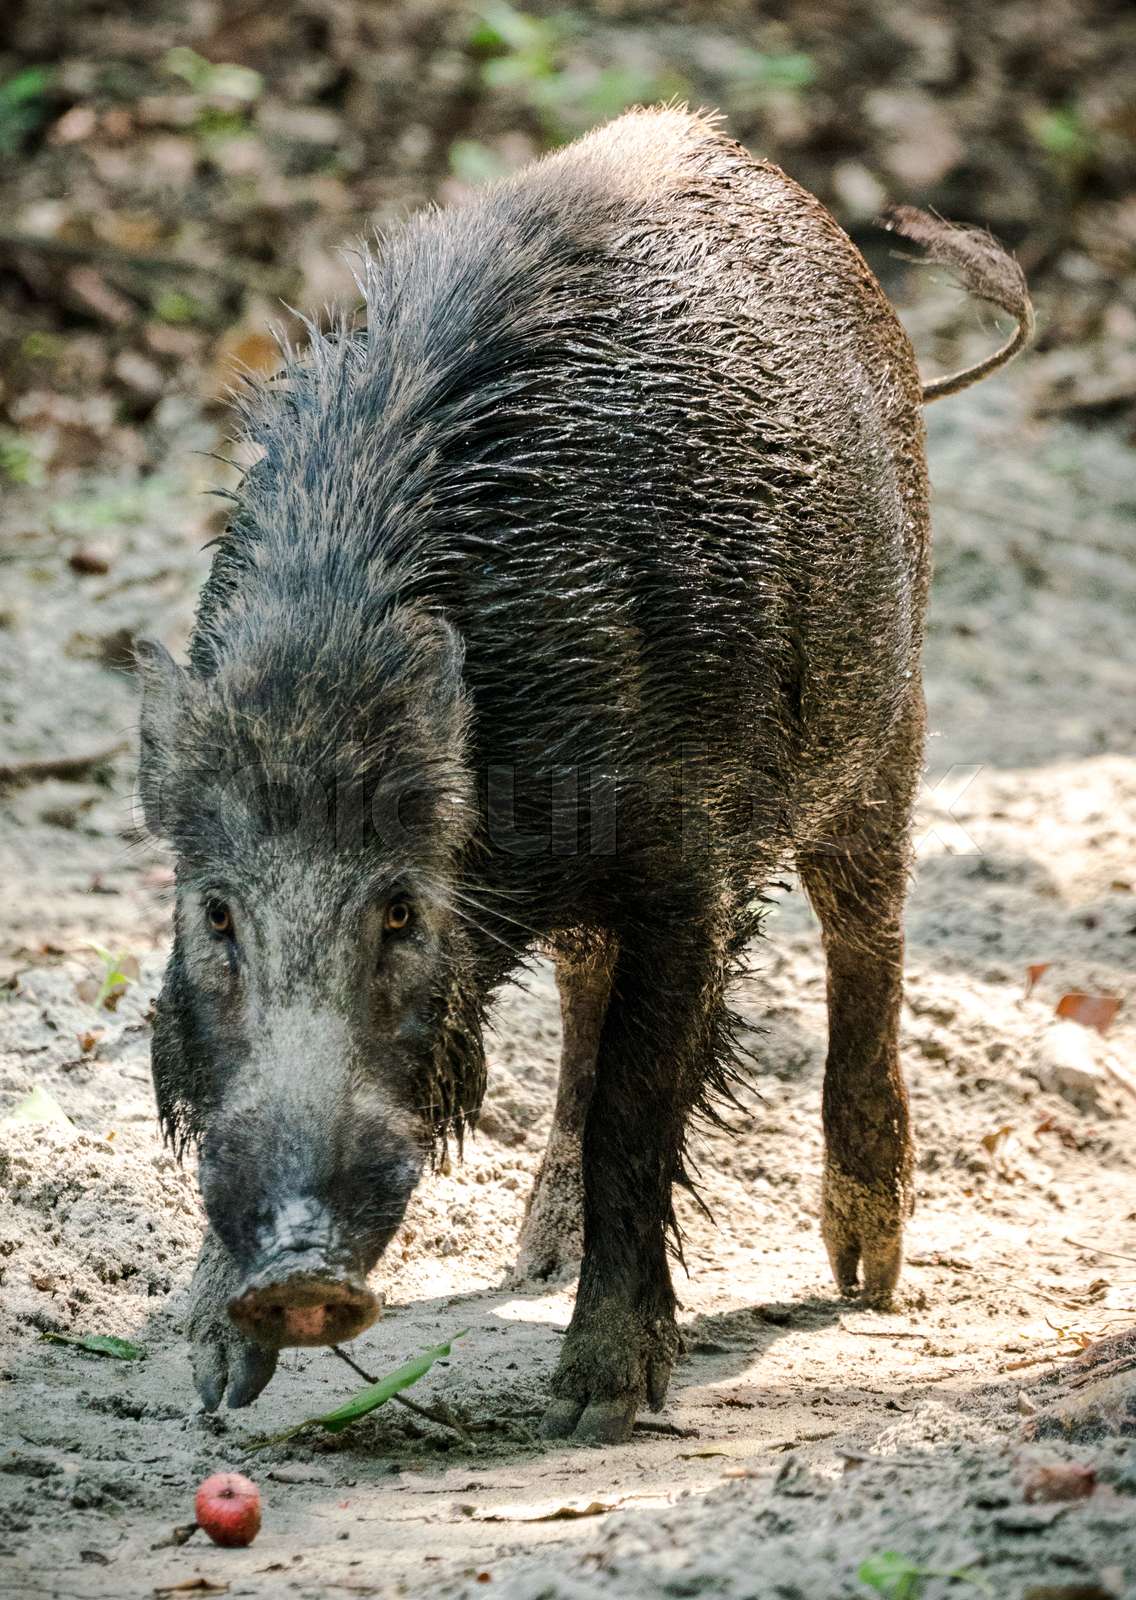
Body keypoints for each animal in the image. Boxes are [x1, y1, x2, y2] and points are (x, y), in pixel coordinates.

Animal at [136, 107, 1032, 1443]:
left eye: (399, 910)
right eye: (215, 915)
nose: (295, 1278)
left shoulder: (688, 868)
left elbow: (636, 1105)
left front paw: (597, 1404)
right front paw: (210, 1379)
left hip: (887, 710)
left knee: (865, 937)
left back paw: (863, 1278)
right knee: (580, 984)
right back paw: (531, 1257)